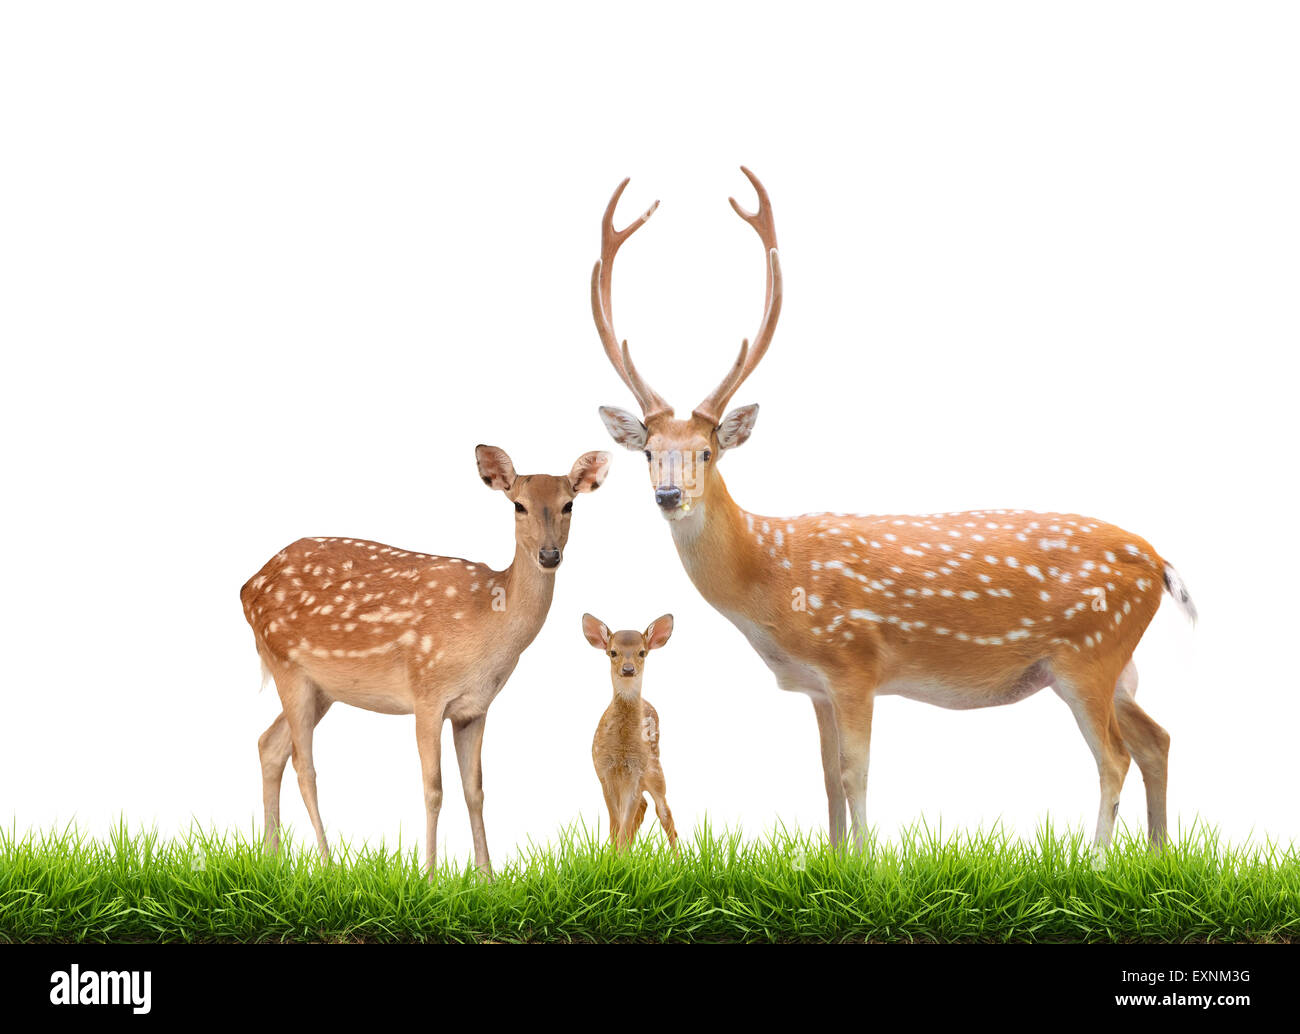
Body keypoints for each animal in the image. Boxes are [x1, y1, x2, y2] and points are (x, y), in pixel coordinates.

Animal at [239, 444, 611, 876]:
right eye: (518, 505)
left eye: (569, 504)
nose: (549, 555)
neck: (487, 623)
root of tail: (247, 587)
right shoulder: (427, 693)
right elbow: (434, 789)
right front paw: (430, 876)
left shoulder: (474, 708)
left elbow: (475, 790)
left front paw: (487, 877)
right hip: (286, 663)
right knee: (304, 765)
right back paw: (328, 865)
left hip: (322, 689)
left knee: (270, 744)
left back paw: (271, 861)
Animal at [582, 612, 680, 852]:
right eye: (613, 652)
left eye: (642, 652)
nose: (628, 669)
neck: (621, 747)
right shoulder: (603, 771)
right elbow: (615, 823)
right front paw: (613, 856)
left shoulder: (636, 772)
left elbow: (625, 822)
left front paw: (622, 856)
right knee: (645, 806)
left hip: (654, 766)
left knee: (664, 811)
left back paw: (680, 858)